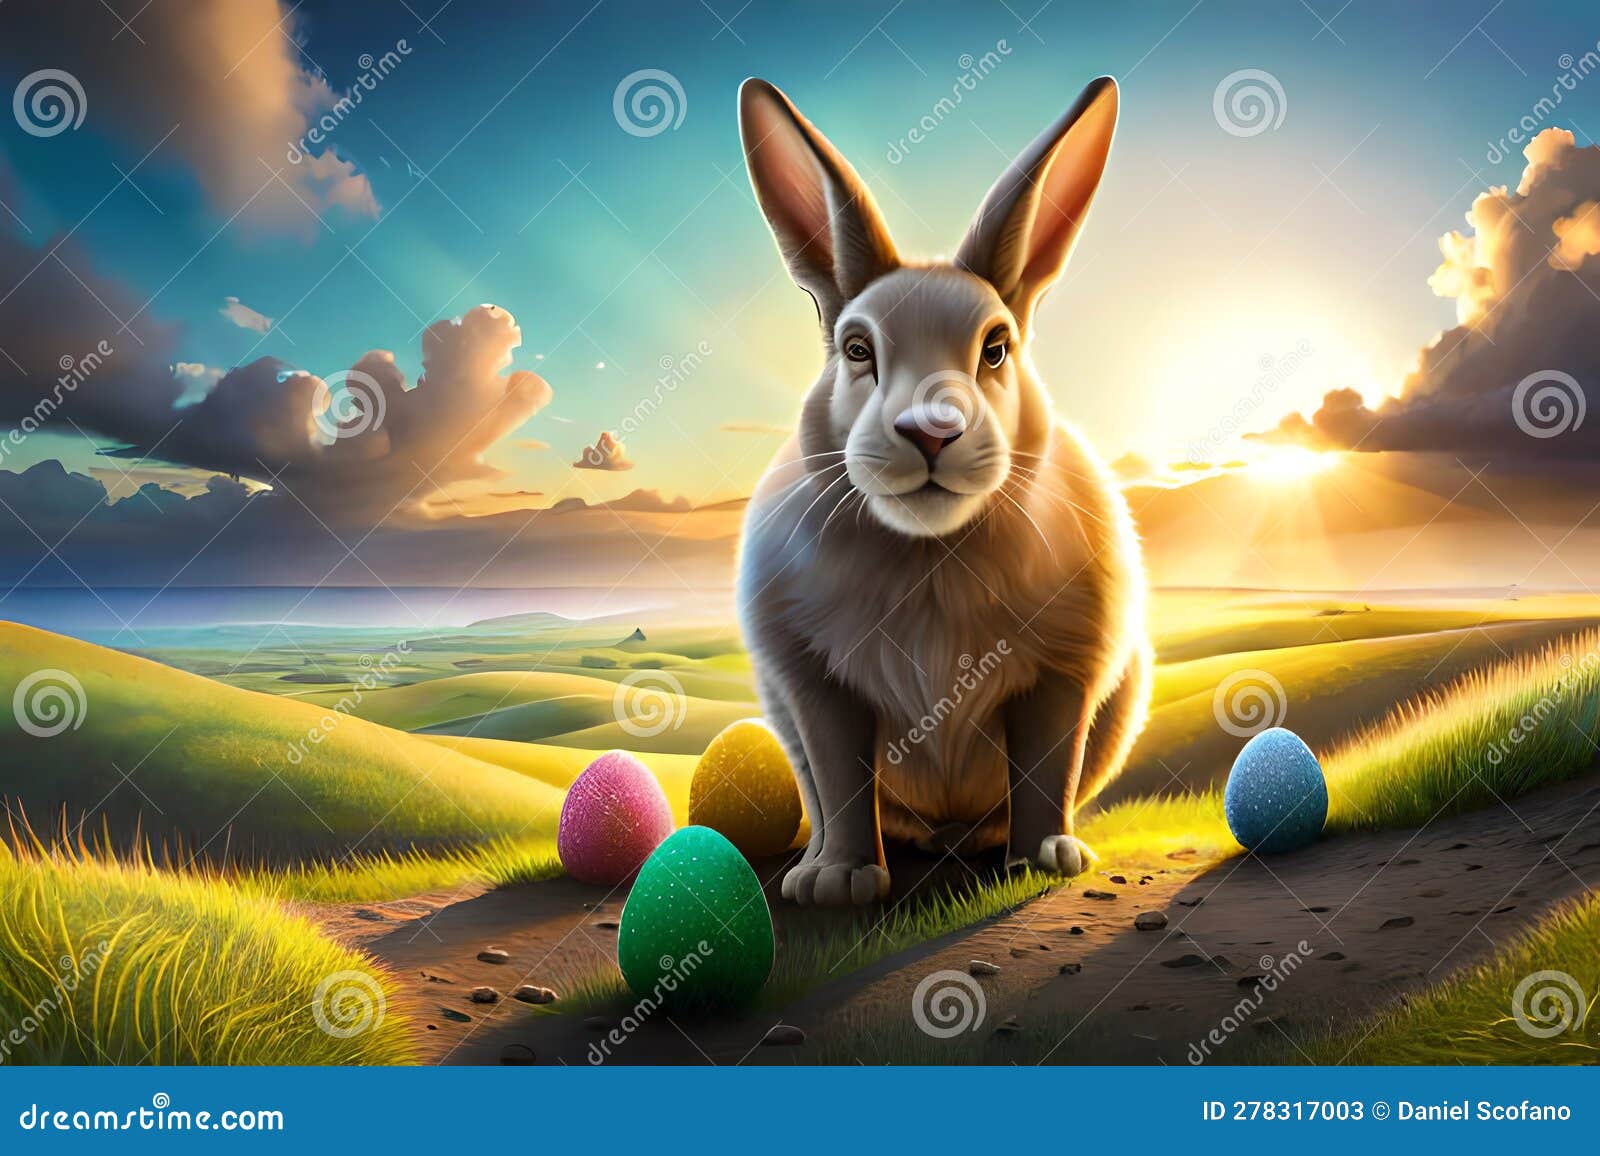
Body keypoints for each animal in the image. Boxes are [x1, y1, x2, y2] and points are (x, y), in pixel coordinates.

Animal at [735, 76, 1151, 906]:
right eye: (856, 349)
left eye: (996, 348)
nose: (931, 431)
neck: (930, 554)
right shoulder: (812, 680)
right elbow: (840, 771)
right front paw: (841, 880)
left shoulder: (1066, 669)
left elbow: (1047, 762)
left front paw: (1047, 858)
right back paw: (813, 865)